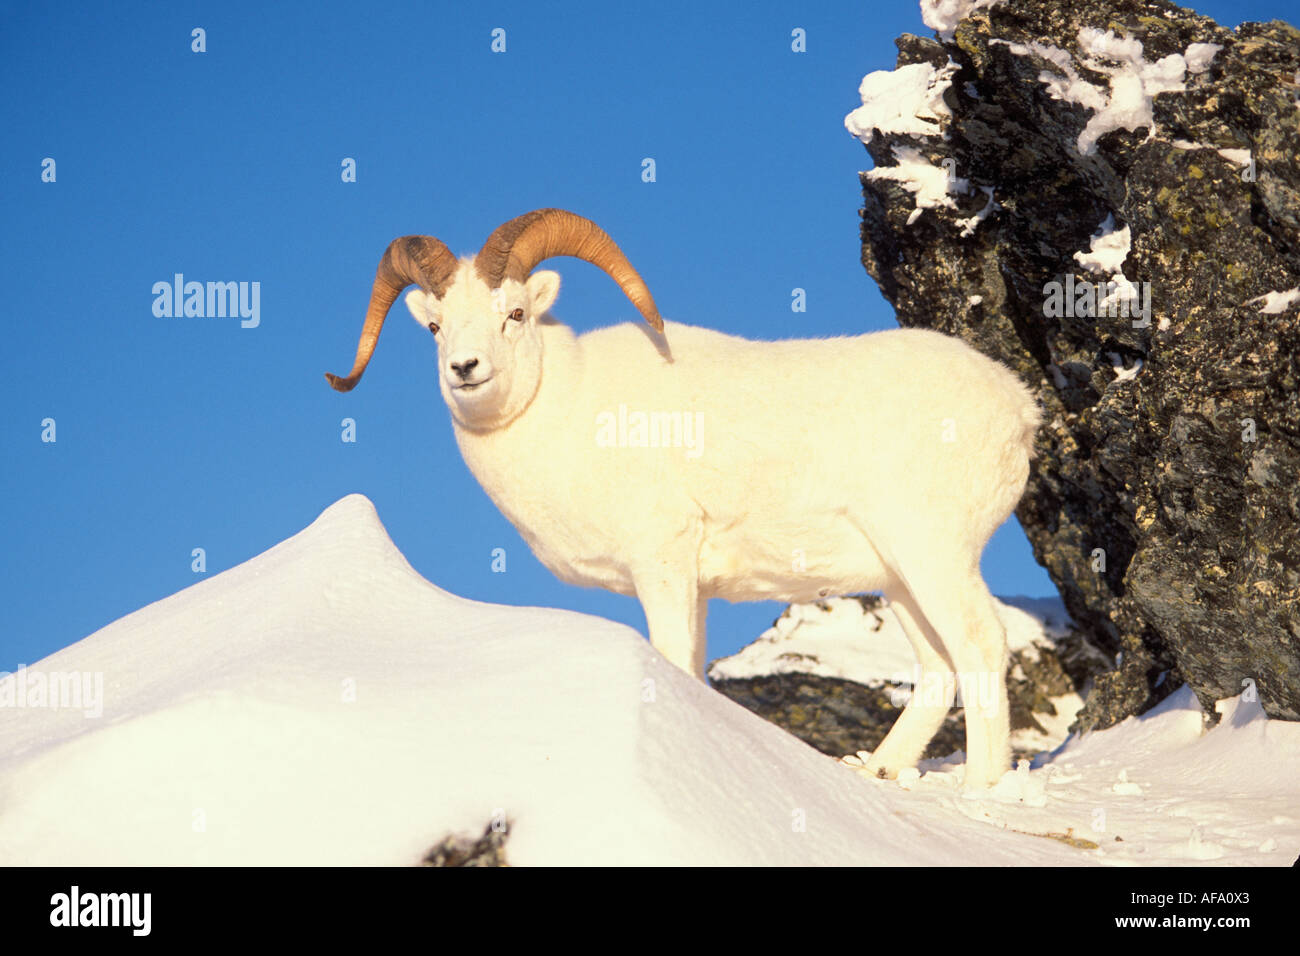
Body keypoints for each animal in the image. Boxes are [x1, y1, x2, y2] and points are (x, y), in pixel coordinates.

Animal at [326, 208, 1041, 788]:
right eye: (435, 326)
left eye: (515, 314)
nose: (465, 370)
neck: (568, 415)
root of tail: (1018, 405)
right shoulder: (694, 587)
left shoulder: (661, 564)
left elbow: (669, 659)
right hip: (897, 579)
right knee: (939, 666)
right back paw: (880, 772)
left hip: (932, 554)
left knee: (979, 644)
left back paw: (981, 792)